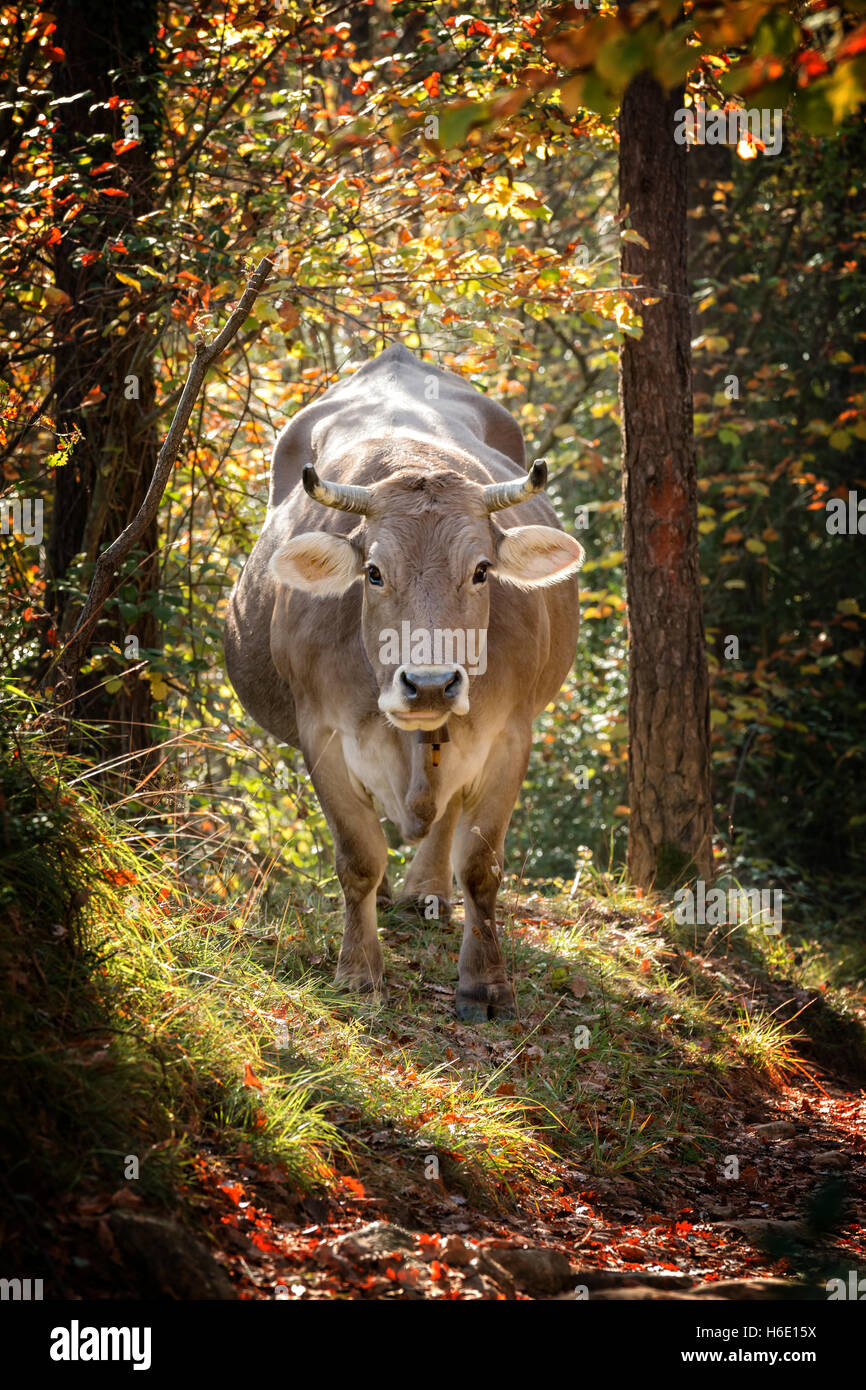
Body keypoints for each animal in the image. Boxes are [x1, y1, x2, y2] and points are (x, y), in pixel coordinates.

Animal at [224, 344, 584, 1020]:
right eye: (373, 571)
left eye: (482, 570)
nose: (431, 684)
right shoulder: (323, 732)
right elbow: (357, 856)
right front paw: (358, 971)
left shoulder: (510, 734)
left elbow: (482, 865)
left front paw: (485, 984)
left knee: (446, 813)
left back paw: (425, 891)